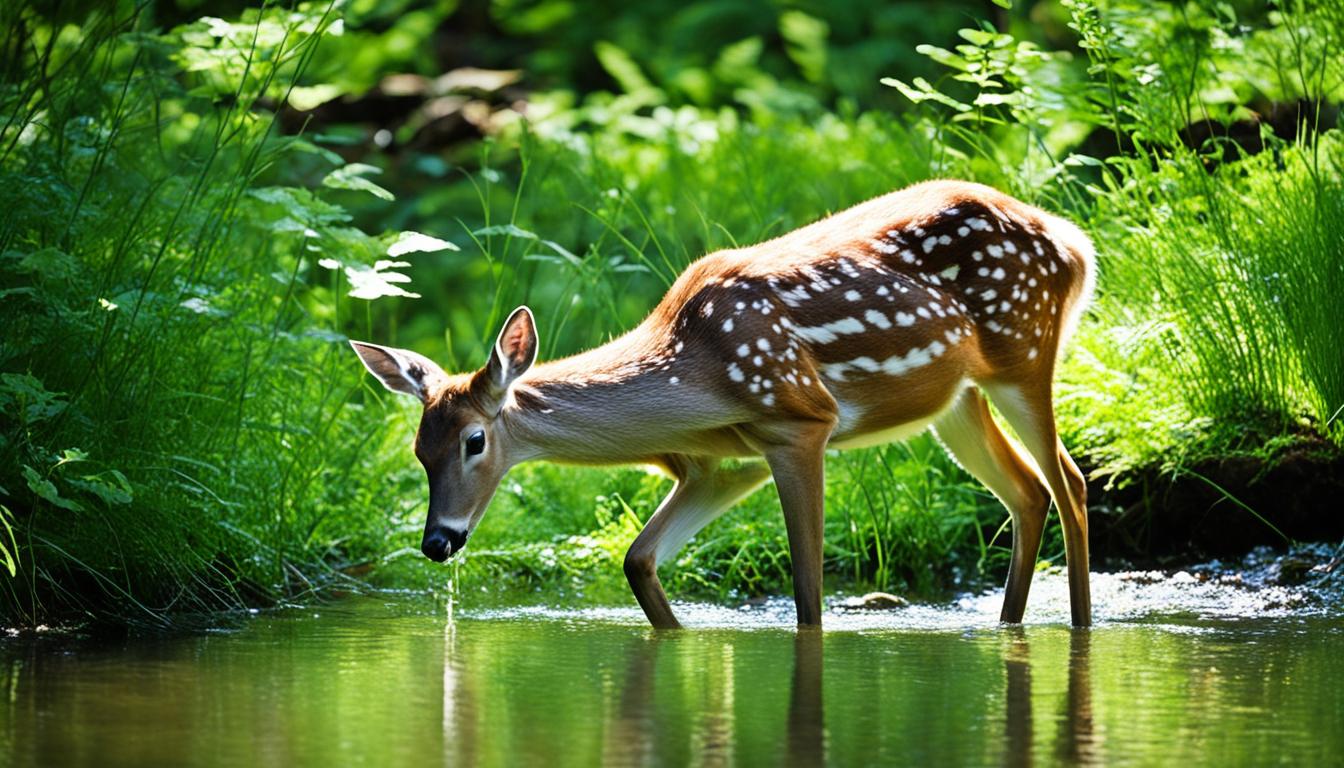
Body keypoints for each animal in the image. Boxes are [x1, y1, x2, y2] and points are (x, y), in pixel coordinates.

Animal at [350, 179, 1097, 629]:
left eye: (474, 441)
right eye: (418, 450)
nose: (438, 541)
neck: (696, 373)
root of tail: (1074, 243)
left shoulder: (802, 422)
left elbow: (807, 597)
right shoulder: (726, 465)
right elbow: (638, 561)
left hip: (1024, 351)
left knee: (1070, 483)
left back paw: (1081, 625)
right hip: (956, 400)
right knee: (1028, 490)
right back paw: (1008, 624)